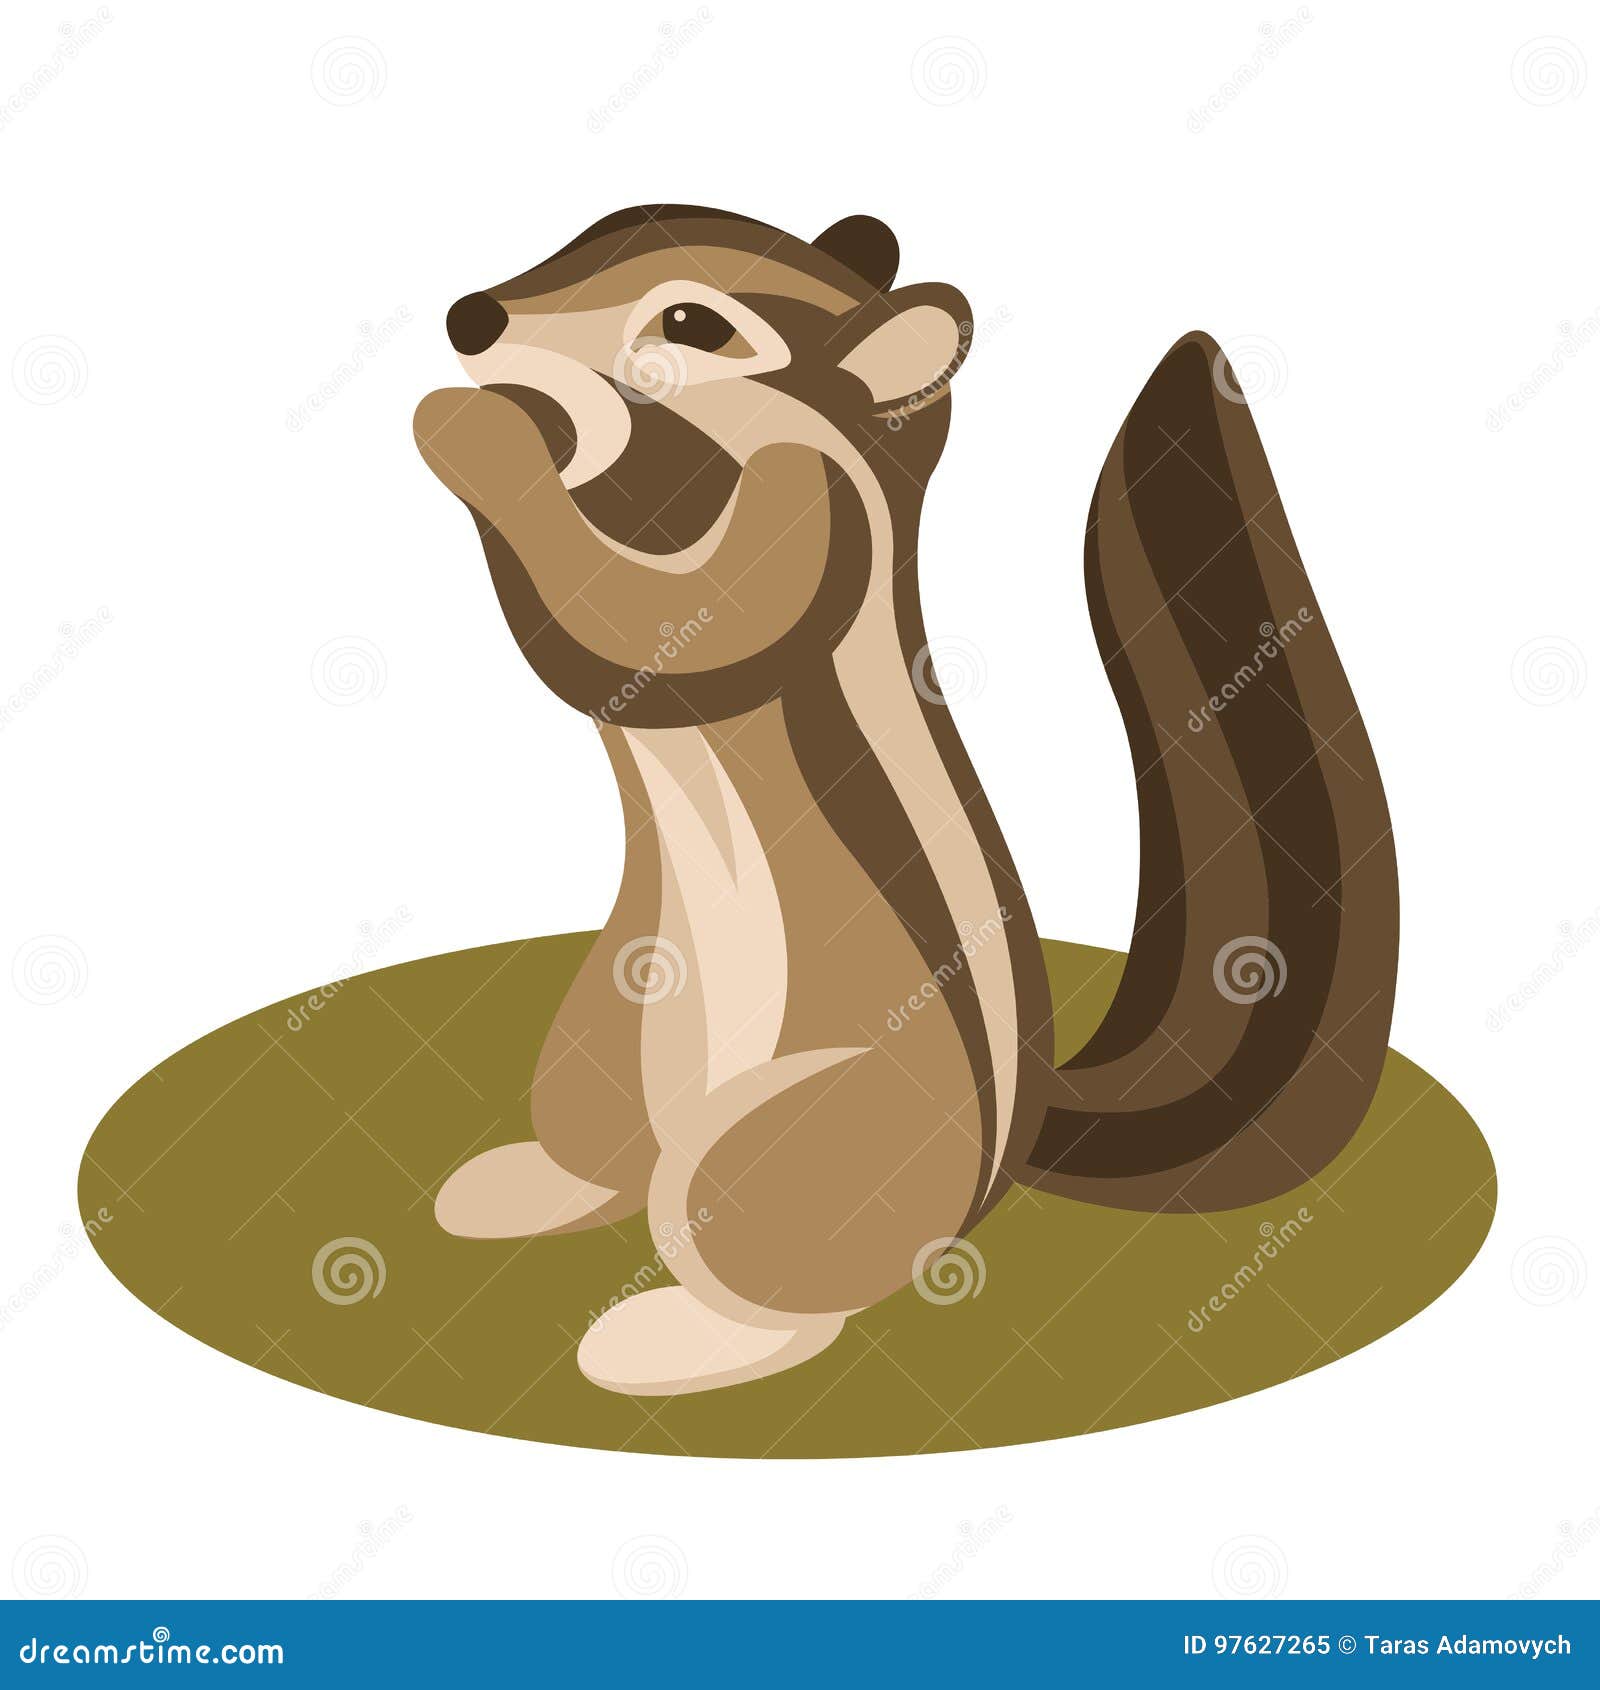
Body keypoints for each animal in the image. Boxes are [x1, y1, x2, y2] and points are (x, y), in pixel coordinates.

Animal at [413, 206, 1399, 1396]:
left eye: (692, 323)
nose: (473, 317)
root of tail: (1007, 1160)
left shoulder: (794, 519)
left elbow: (657, 626)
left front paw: (475, 428)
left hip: (798, 1142)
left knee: (758, 1262)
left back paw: (679, 1342)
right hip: (602, 1024)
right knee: (599, 1151)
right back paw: (525, 1188)